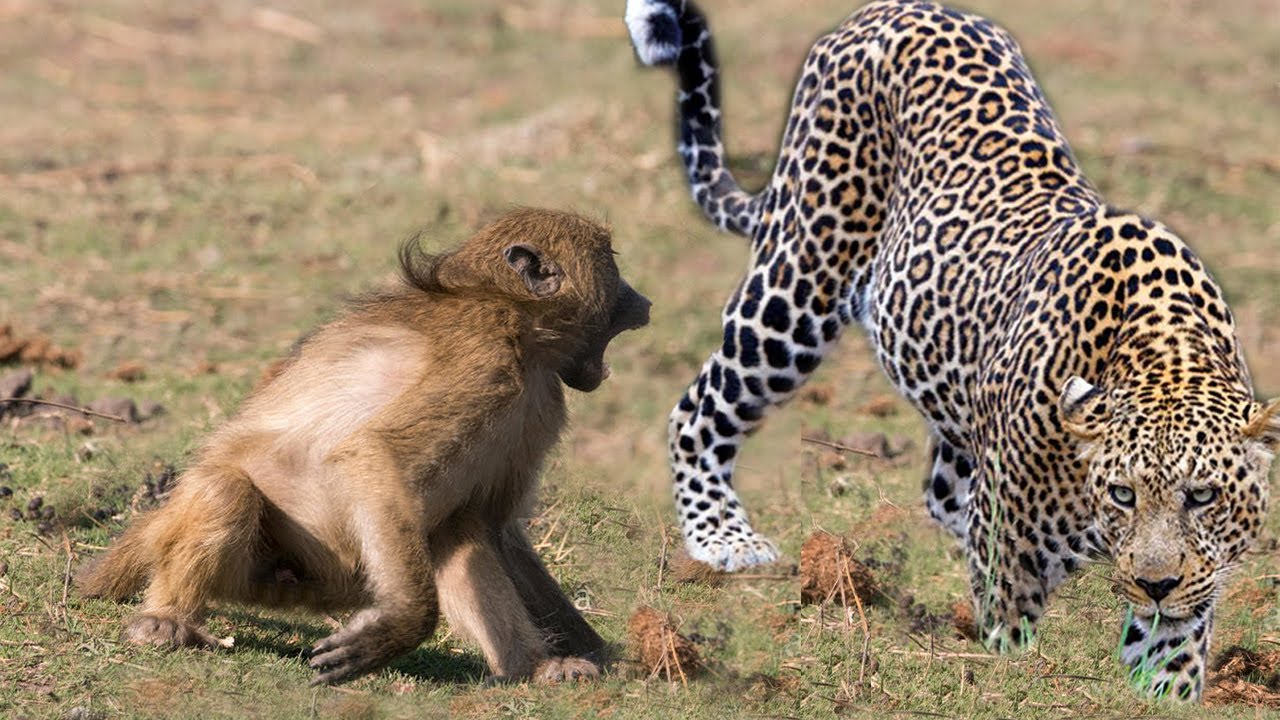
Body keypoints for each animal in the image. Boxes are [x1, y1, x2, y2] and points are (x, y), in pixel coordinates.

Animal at [625, 0, 1279, 701]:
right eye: (1123, 494)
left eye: (1203, 496)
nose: (1155, 584)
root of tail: (885, 11)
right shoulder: (1009, 552)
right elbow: (1011, 637)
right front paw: (1014, 674)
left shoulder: (1187, 591)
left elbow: (1170, 659)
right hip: (795, 285)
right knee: (700, 408)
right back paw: (725, 539)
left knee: (942, 489)